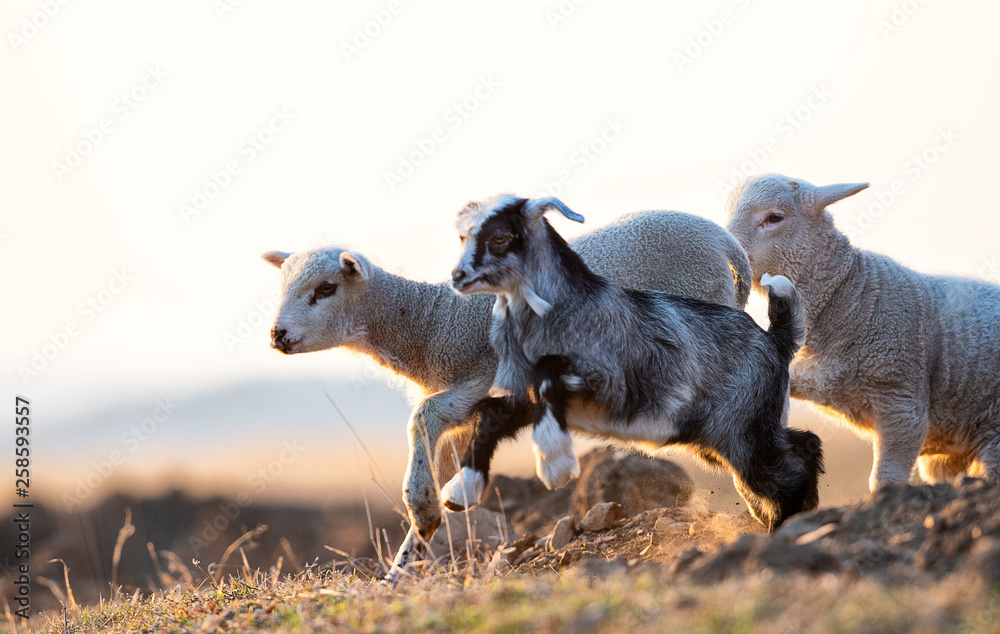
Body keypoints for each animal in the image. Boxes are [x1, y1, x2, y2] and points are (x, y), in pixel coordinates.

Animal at [262, 209, 752, 579]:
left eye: (326, 289)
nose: (277, 336)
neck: (429, 324)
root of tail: (724, 241)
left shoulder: (482, 377)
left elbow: (423, 417)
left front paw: (422, 514)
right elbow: (440, 456)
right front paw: (404, 567)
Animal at [442, 194, 824, 532]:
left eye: (500, 236)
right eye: (463, 235)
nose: (458, 276)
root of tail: (775, 338)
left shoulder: (610, 385)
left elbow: (547, 375)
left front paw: (555, 464)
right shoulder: (521, 396)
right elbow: (491, 415)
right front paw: (460, 491)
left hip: (743, 432)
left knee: (780, 471)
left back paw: (784, 526)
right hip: (731, 432)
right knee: (801, 444)